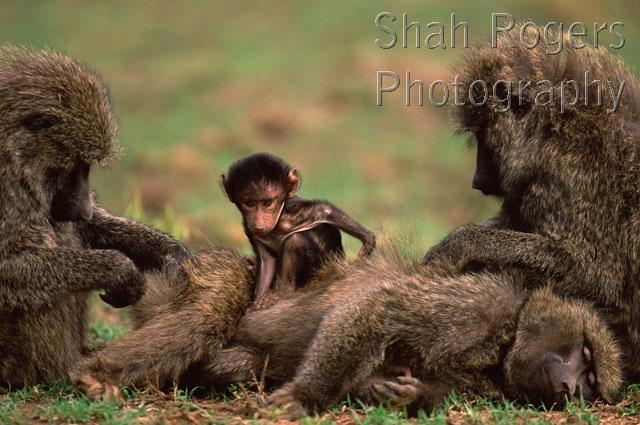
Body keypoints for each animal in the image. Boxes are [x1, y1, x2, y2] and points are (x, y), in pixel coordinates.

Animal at [0, 45, 192, 388]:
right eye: (77, 164)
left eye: (86, 165)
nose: (83, 206)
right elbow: (8, 263)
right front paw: (121, 271)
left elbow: (88, 226)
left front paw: (171, 253)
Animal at [222, 153, 376, 308]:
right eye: (250, 204)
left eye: (267, 203)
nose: (258, 221)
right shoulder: (250, 229)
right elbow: (266, 260)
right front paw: (256, 299)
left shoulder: (295, 215)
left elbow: (323, 210)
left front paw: (368, 241)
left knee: (295, 240)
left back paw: (283, 291)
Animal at [420, 22, 640, 381]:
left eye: (482, 134)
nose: (477, 181)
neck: (554, 129)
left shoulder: (565, 179)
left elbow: (595, 274)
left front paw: (459, 244)